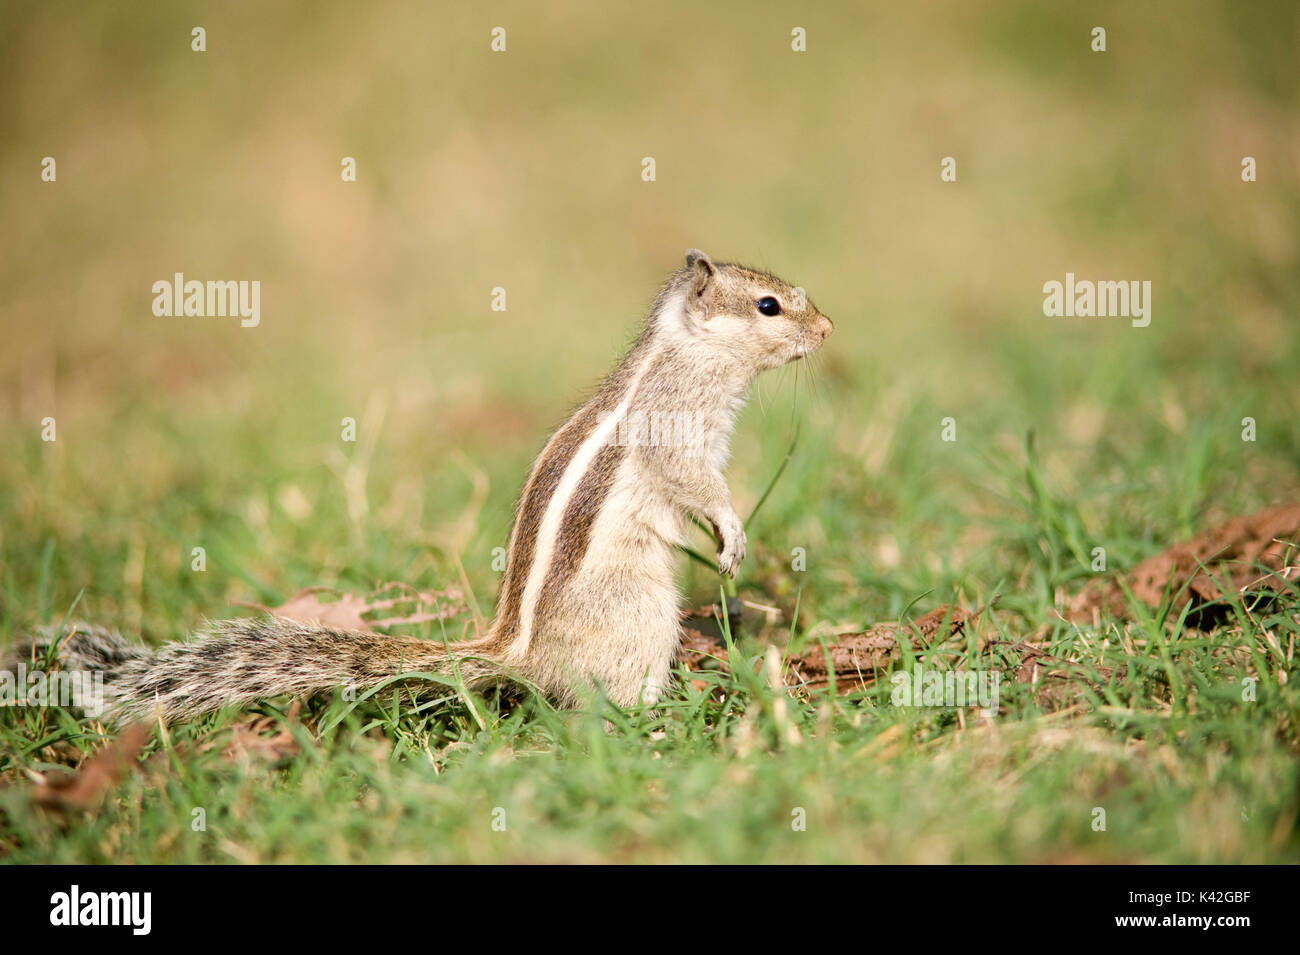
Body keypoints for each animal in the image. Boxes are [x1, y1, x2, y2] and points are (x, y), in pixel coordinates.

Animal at [7, 250, 832, 722]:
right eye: (768, 305)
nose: (827, 331)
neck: (690, 349)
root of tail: (512, 652)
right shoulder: (678, 429)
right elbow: (695, 483)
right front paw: (731, 535)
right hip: (639, 612)